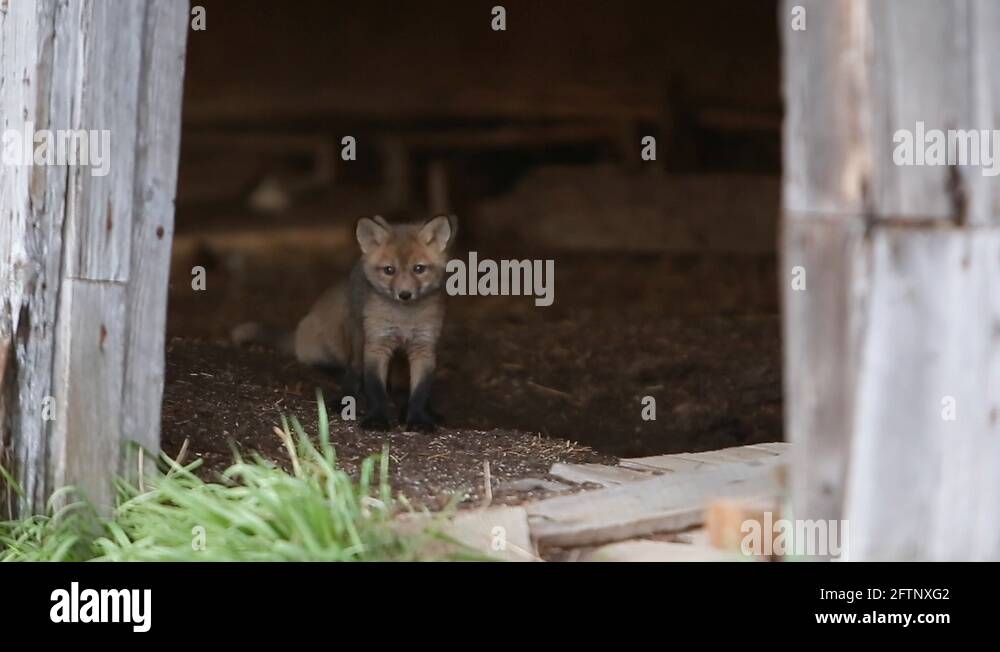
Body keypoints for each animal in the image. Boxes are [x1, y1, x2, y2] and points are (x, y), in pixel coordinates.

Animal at [232, 214, 457, 431]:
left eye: (419, 269)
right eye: (389, 270)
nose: (404, 294)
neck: (404, 319)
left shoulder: (424, 347)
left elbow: (419, 392)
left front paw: (419, 419)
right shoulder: (376, 344)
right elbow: (375, 387)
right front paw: (377, 419)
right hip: (358, 337)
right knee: (353, 371)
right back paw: (345, 400)